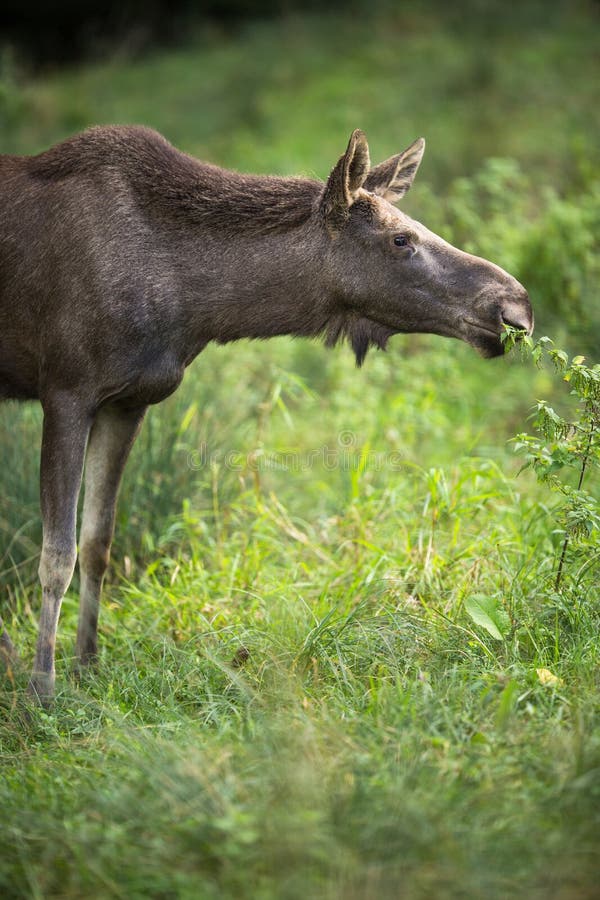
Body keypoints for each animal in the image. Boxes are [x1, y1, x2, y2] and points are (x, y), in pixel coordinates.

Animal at [0, 126, 533, 702]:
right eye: (399, 239)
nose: (516, 307)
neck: (195, 308)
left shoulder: (128, 401)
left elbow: (98, 543)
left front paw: (88, 667)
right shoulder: (66, 390)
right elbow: (56, 555)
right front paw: (42, 690)